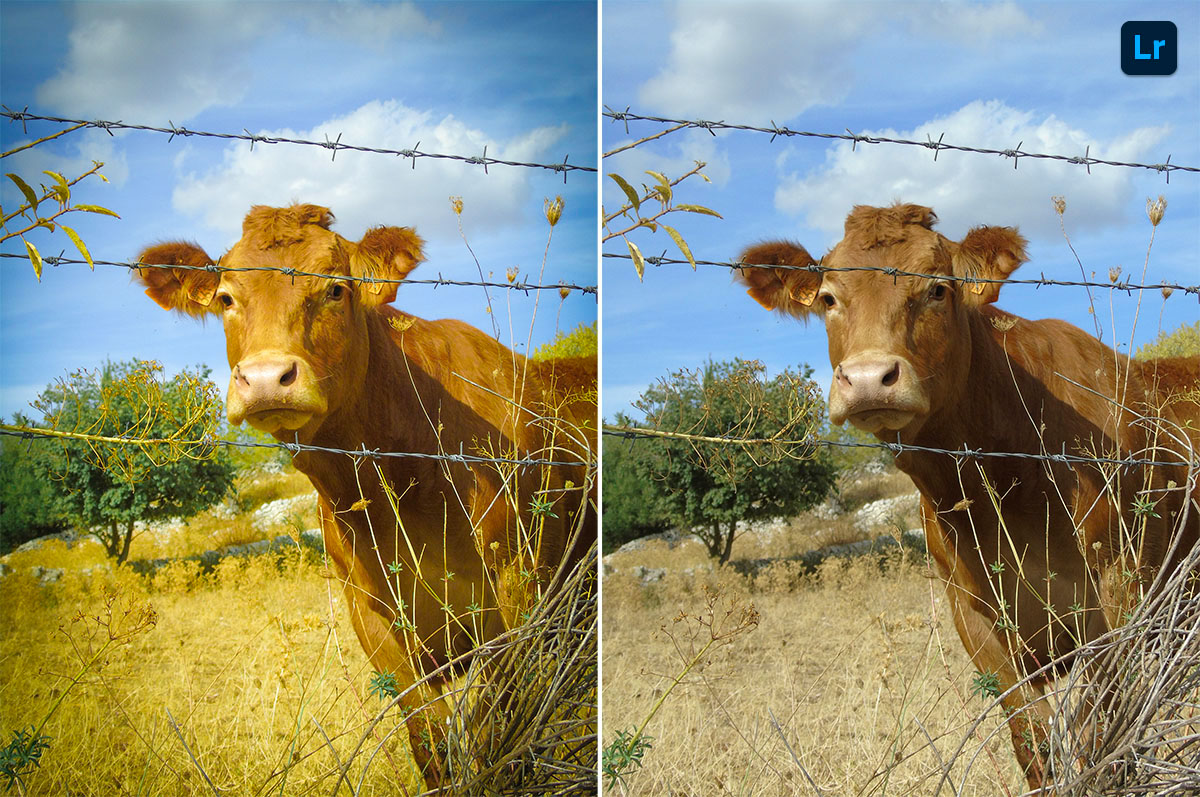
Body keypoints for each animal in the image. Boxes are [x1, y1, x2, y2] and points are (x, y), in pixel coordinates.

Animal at [135, 204, 597, 787]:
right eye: (226, 298)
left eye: (335, 289)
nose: (265, 378)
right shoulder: (373, 619)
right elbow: (432, 745)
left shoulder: (523, 594)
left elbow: (500, 736)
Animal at [735, 203, 1199, 789]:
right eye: (828, 298)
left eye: (937, 289)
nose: (867, 379)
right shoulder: (976, 621)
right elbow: (1034, 744)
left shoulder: (1124, 595)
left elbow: (1103, 739)